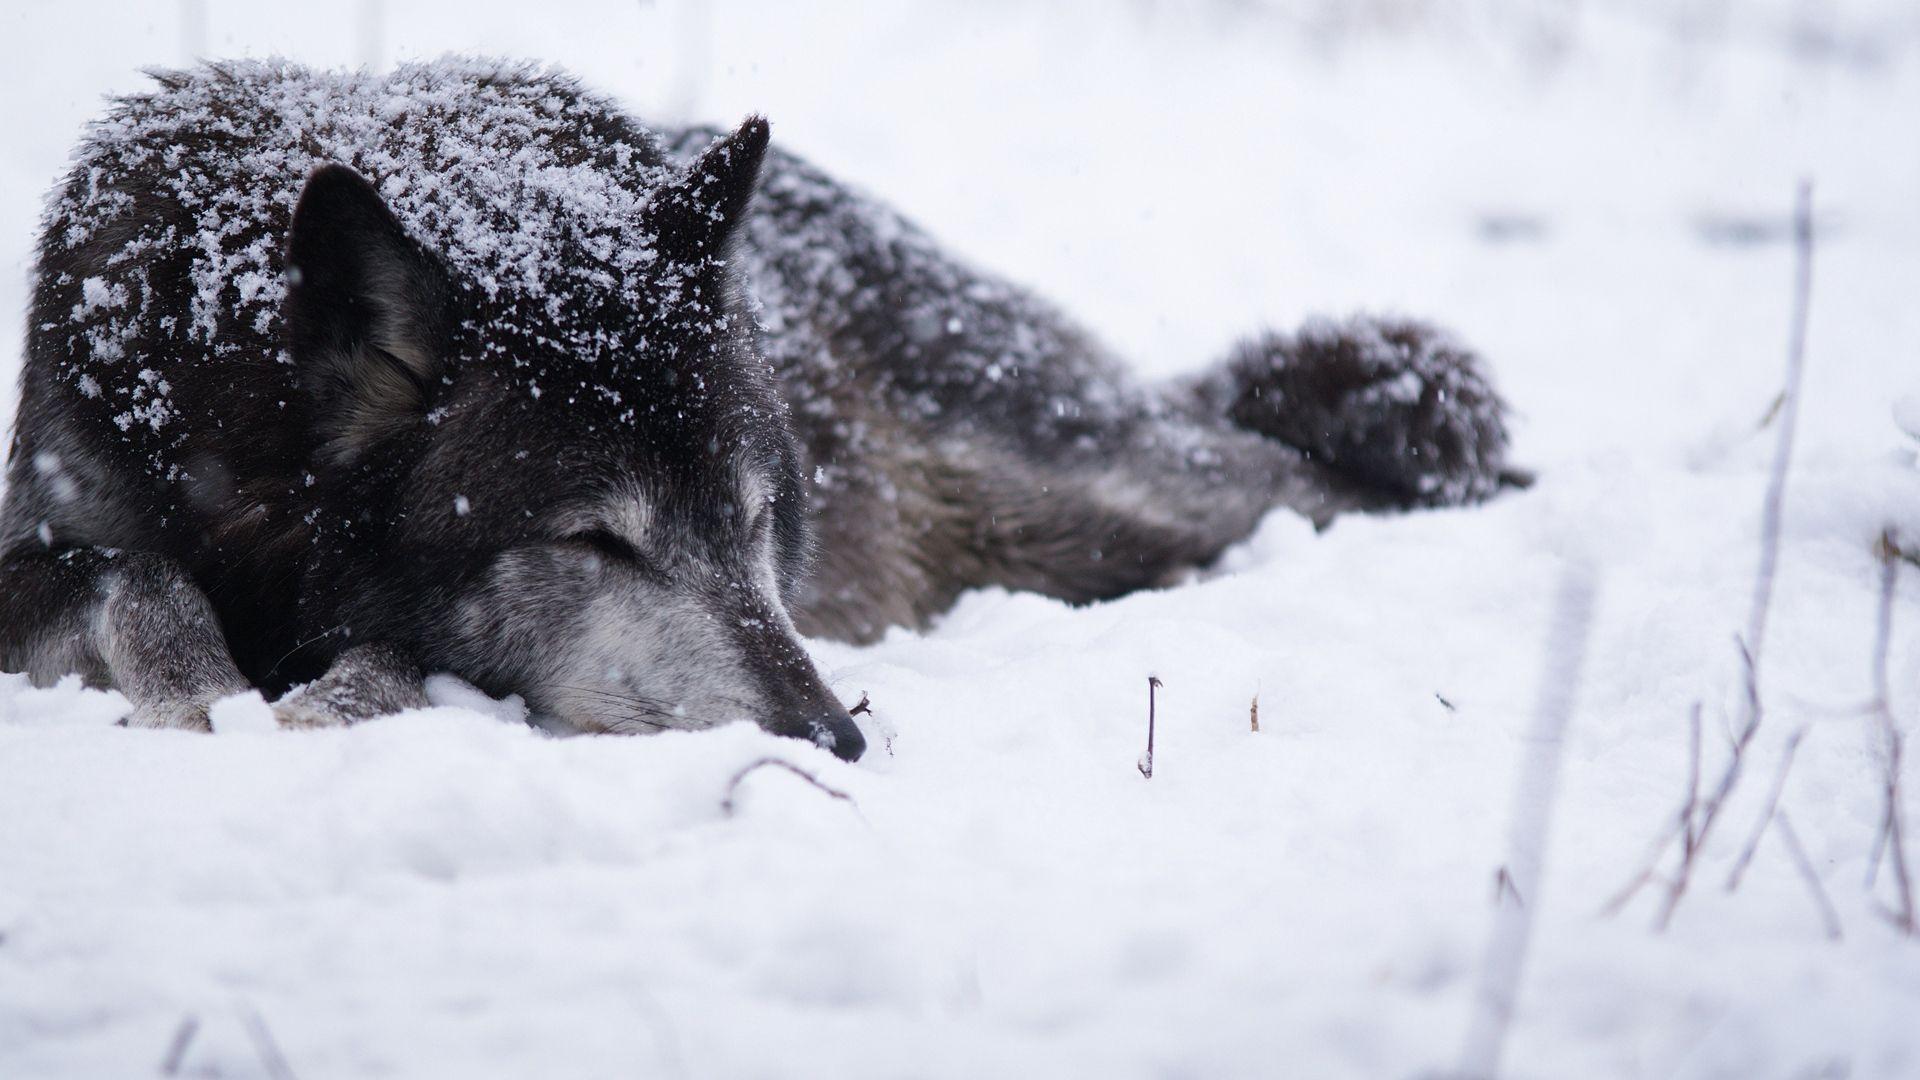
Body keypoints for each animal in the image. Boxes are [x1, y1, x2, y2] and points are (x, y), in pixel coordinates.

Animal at [0, 60, 1515, 762]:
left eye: (753, 521)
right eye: (597, 542)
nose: (837, 739)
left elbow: (383, 653)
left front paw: (318, 700)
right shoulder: (54, 522)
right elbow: (127, 569)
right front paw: (206, 687)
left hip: (1099, 492)